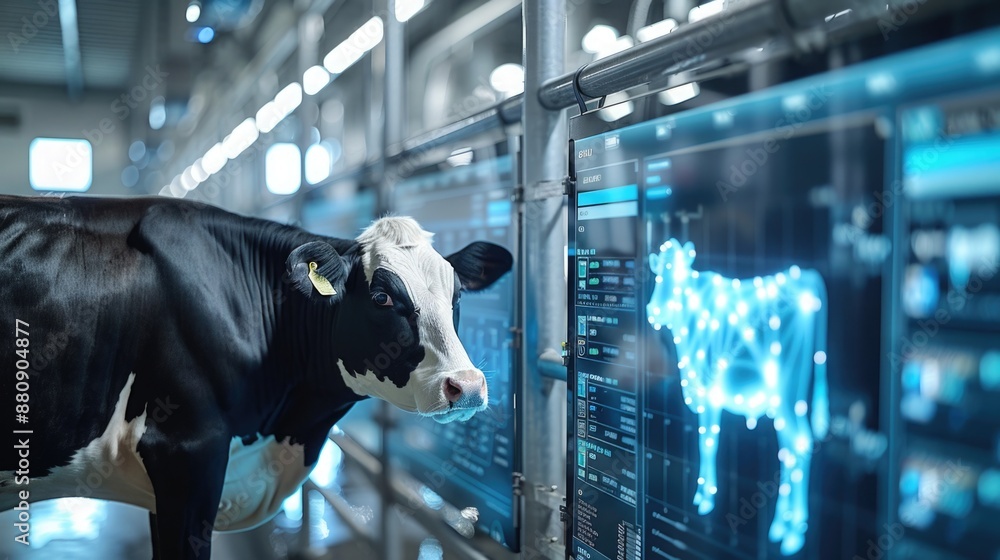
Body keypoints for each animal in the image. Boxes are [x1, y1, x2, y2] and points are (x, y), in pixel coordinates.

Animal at [646, 239, 828, 556]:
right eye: (658, 275)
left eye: (678, 277)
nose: (653, 311)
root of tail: (805, 277)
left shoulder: (709, 396)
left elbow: (708, 442)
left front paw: (704, 498)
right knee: (791, 448)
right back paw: (782, 526)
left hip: (787, 390)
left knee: (799, 443)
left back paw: (792, 534)